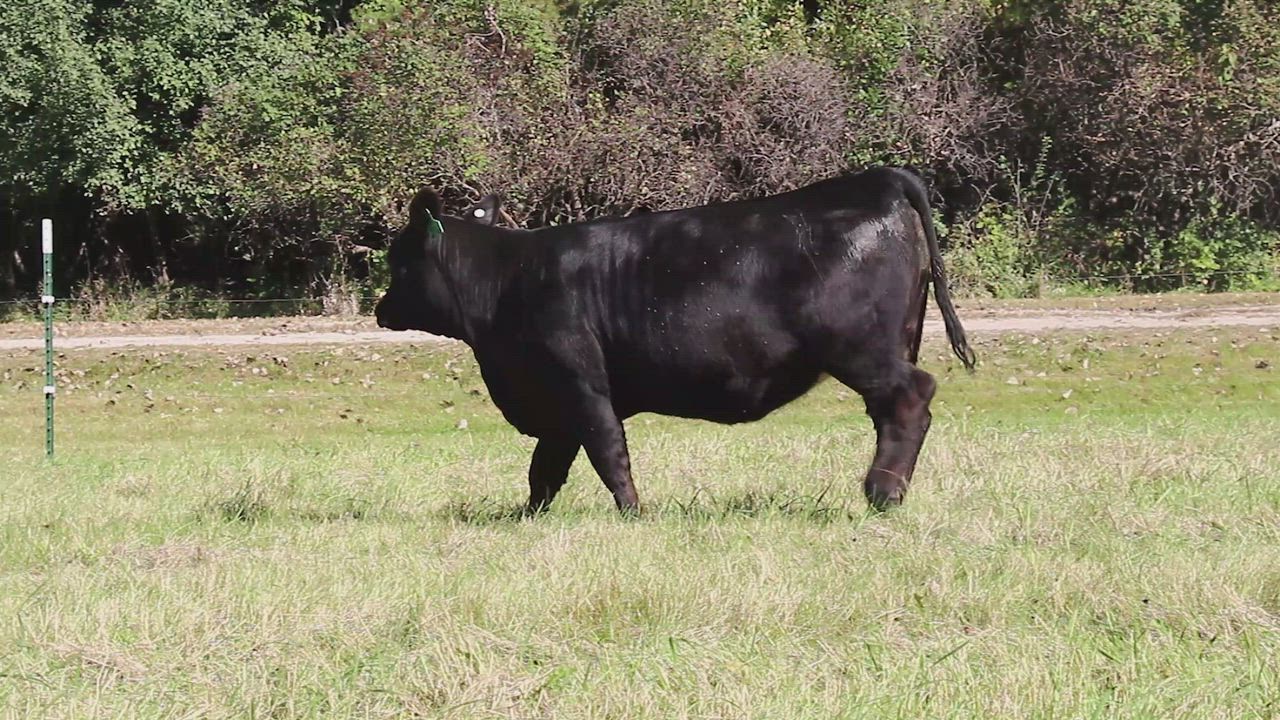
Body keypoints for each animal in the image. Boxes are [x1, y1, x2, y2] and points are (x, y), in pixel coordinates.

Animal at [375, 167, 976, 514]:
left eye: (397, 261)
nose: (380, 309)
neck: (509, 281)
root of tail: (879, 179)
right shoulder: (559, 403)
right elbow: (545, 469)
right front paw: (529, 518)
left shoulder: (580, 385)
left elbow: (607, 452)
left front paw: (634, 513)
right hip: (891, 344)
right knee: (892, 411)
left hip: (861, 351)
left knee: (910, 398)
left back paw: (882, 494)